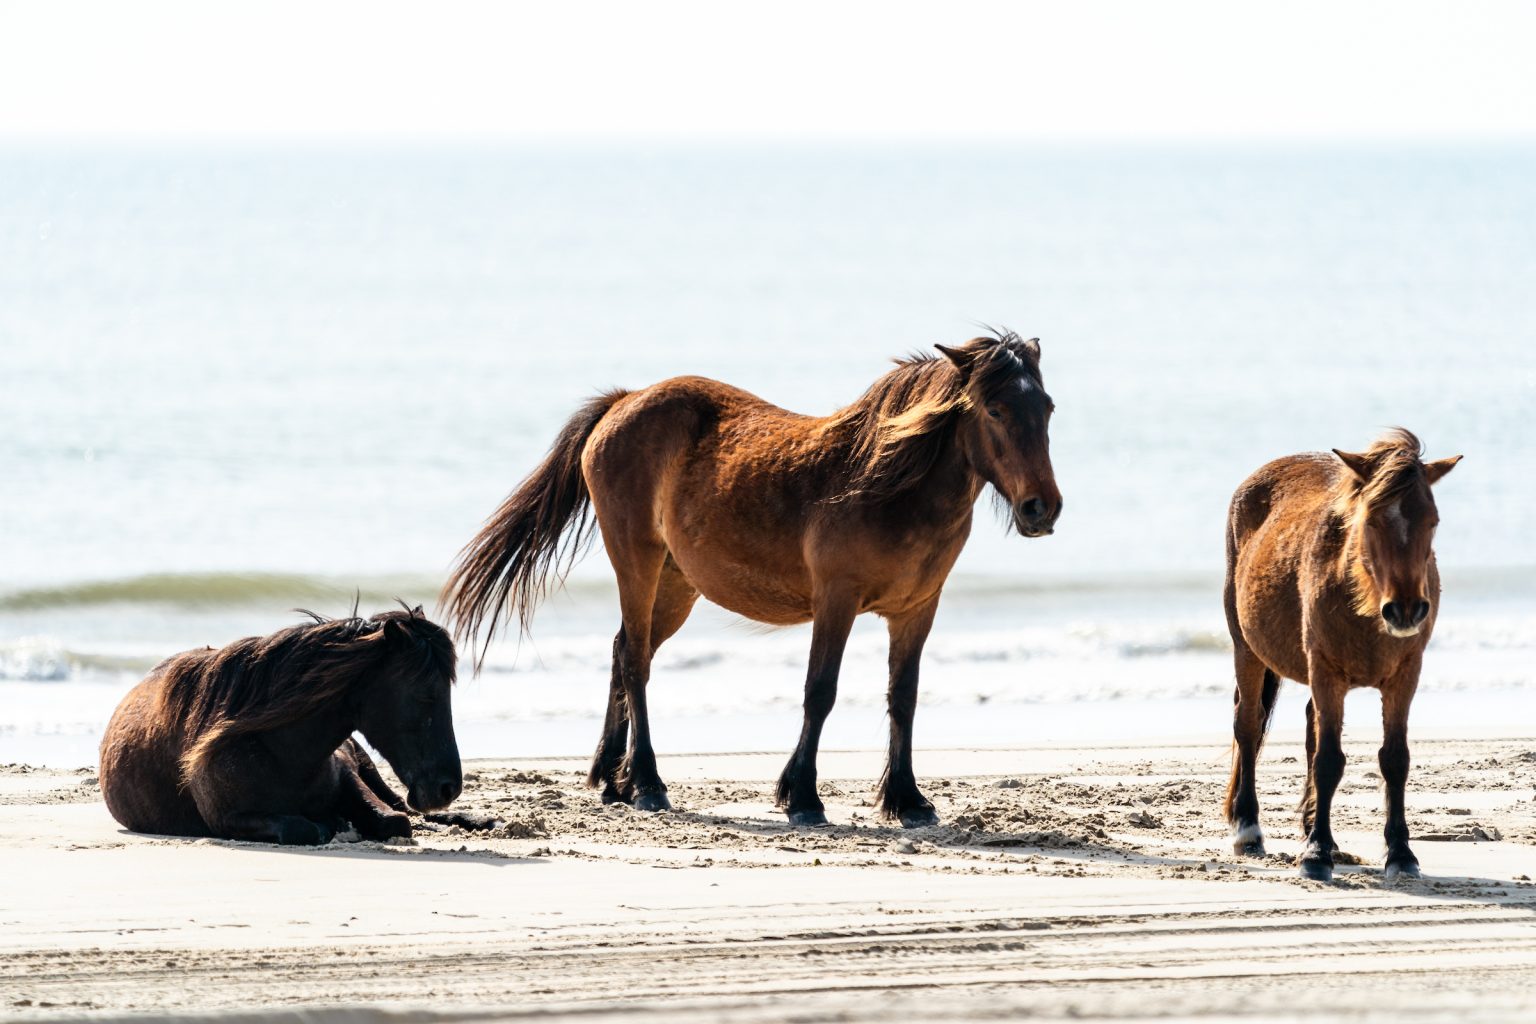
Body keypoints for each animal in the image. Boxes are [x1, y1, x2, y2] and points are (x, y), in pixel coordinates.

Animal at [99, 605, 463, 845]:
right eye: (426, 694)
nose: (447, 788)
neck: (281, 753)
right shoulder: (228, 819)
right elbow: (302, 828)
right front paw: (332, 823)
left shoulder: (349, 777)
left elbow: (394, 821)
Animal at [443, 330, 1061, 827]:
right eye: (995, 409)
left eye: (1048, 408)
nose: (1041, 508)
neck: (887, 483)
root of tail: (626, 401)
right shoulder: (835, 602)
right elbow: (820, 692)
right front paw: (803, 798)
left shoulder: (917, 609)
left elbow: (902, 698)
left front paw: (908, 801)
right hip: (636, 562)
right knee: (635, 661)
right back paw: (647, 784)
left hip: (676, 584)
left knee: (623, 651)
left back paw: (613, 781)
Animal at [1221, 429, 1460, 881]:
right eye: (1371, 520)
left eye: (1434, 521)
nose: (1406, 610)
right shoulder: (1326, 670)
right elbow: (1329, 759)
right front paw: (1316, 856)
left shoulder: (1405, 674)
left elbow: (1394, 759)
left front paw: (1400, 852)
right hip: (1246, 648)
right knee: (1248, 725)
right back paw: (1249, 830)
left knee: (1309, 726)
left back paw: (1318, 831)